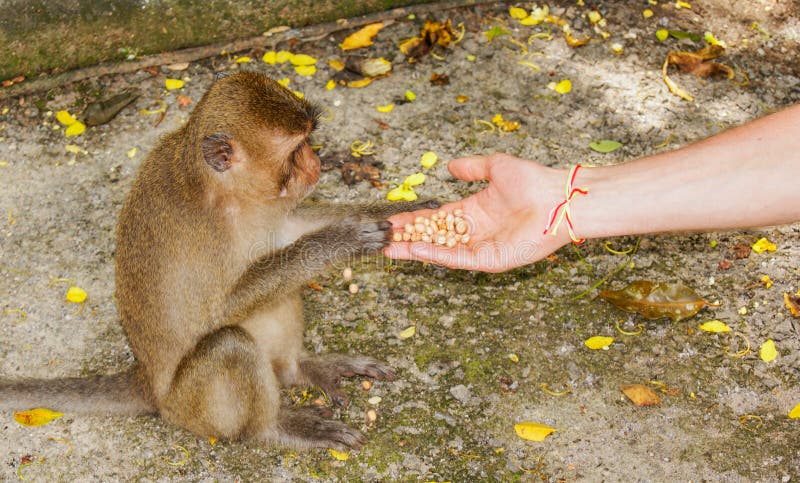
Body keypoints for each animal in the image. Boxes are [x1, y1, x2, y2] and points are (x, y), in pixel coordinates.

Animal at [0, 71, 436, 450]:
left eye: (310, 141)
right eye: (296, 150)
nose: (316, 163)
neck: (226, 194)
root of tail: (147, 383)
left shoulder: (268, 208)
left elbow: (290, 231)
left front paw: (406, 211)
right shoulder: (199, 232)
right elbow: (220, 311)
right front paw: (342, 240)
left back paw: (298, 370)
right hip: (192, 408)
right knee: (229, 343)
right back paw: (274, 427)